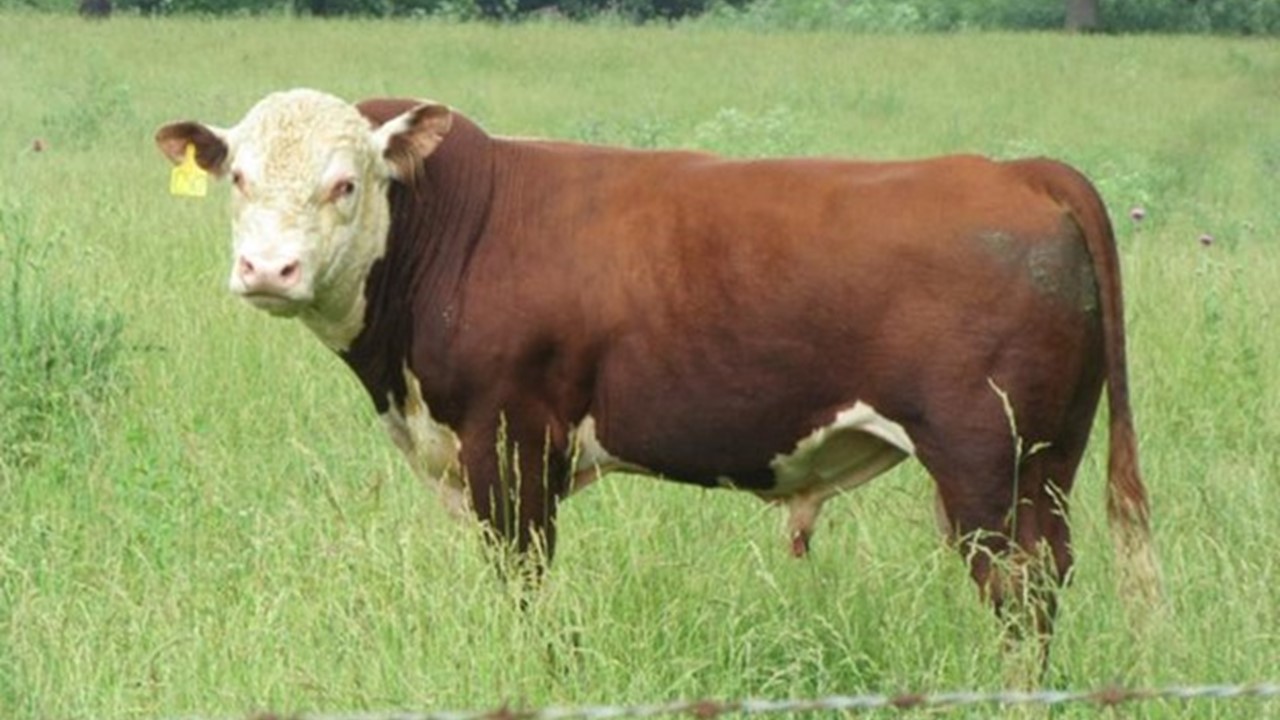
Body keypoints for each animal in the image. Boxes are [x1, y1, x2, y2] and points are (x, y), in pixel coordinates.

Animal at [156, 88, 1158, 642]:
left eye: (346, 183)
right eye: (238, 176)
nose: (268, 270)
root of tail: (1016, 170)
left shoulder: (511, 443)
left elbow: (524, 584)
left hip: (986, 459)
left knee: (1018, 589)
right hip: (1047, 461)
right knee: (1050, 574)